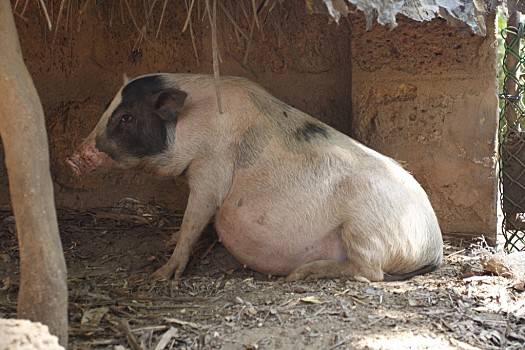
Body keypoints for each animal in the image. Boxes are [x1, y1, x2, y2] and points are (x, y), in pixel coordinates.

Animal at [65, 73, 442, 282]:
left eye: (126, 118)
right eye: (109, 109)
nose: (74, 157)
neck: (191, 126)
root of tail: (433, 245)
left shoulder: (209, 172)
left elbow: (194, 219)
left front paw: (161, 275)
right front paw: (167, 242)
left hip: (365, 227)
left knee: (370, 271)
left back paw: (299, 275)